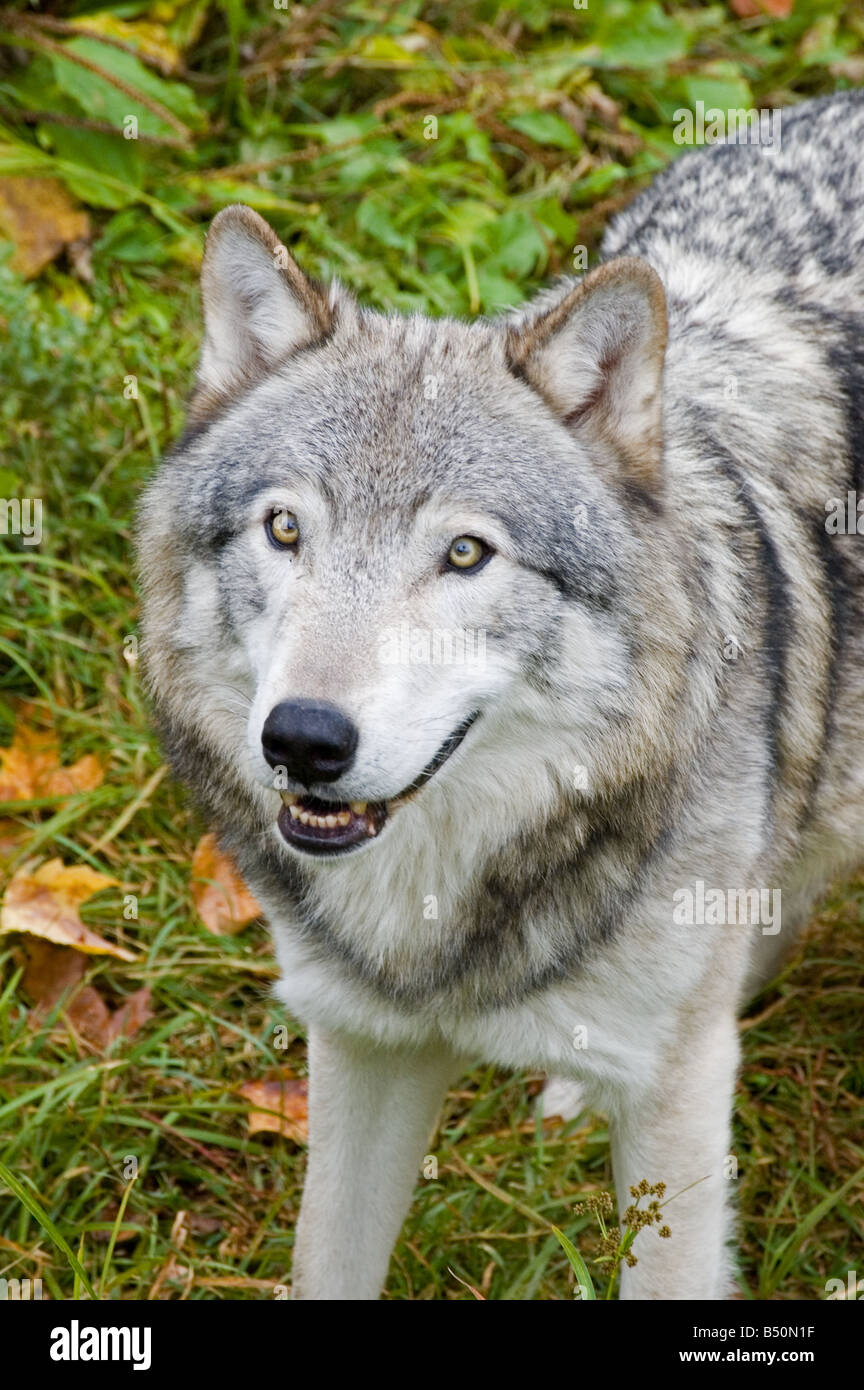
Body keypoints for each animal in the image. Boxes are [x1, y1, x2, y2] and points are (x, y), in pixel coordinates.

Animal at [137, 90, 864, 1300]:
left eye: (467, 554)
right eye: (286, 529)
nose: (304, 740)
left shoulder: (674, 1124)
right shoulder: (363, 1043)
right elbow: (327, 1264)